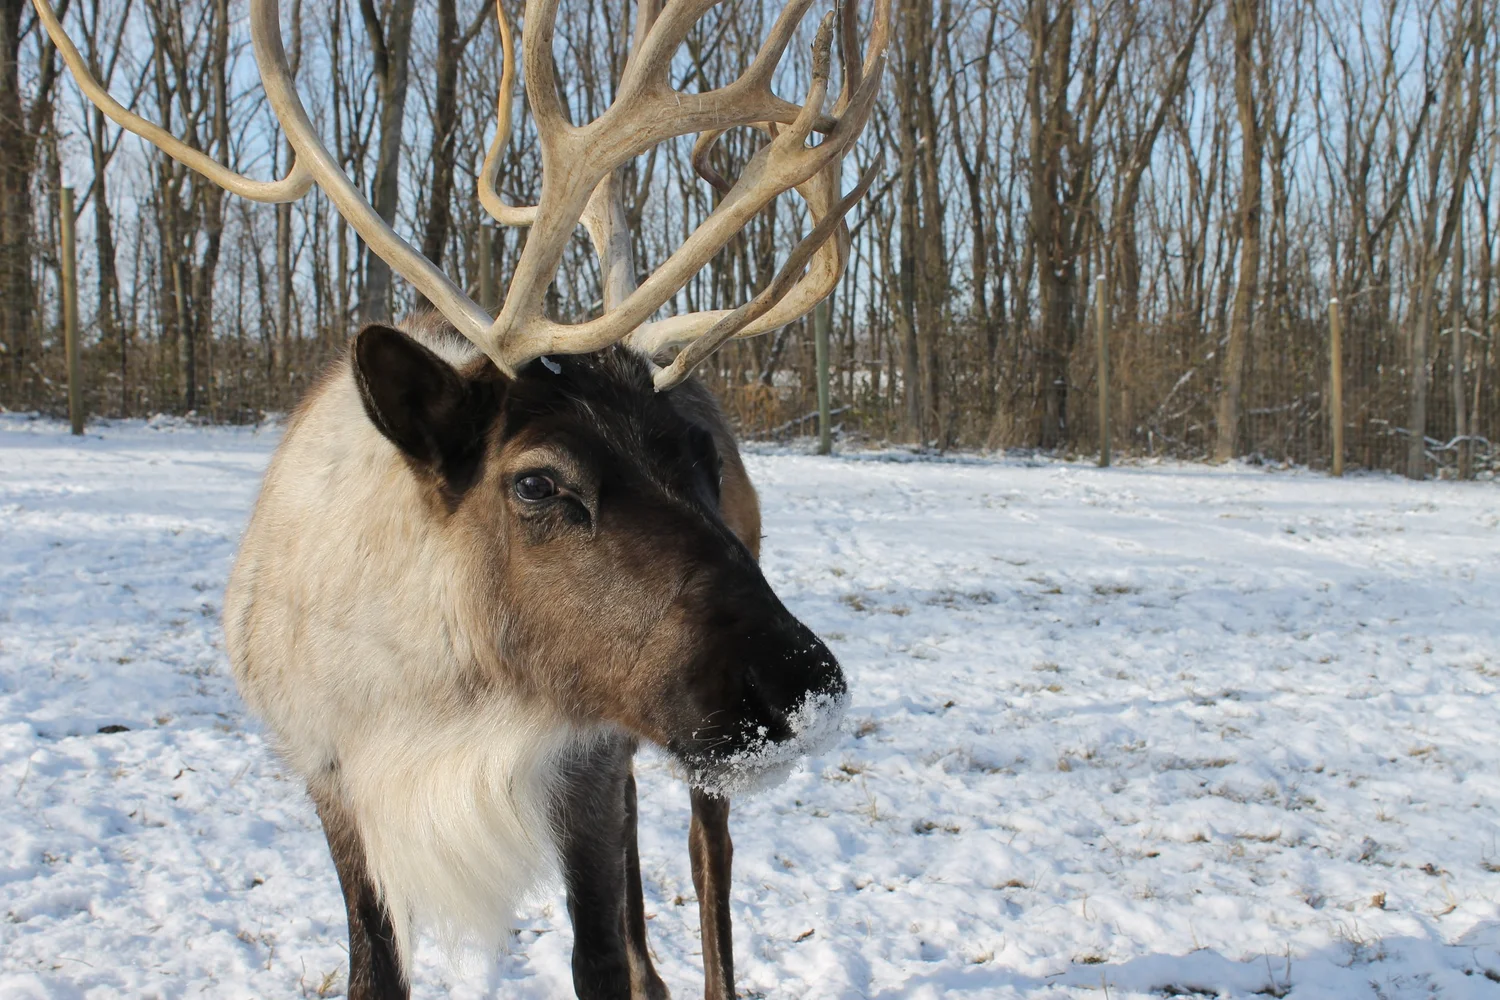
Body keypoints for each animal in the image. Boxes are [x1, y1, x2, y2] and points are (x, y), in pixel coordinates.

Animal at [36, 0, 888, 995]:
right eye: (538, 481)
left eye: (703, 458)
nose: (804, 684)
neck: (449, 701)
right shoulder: (333, 779)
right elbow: (375, 967)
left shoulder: (582, 766)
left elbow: (598, 954)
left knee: (706, 860)